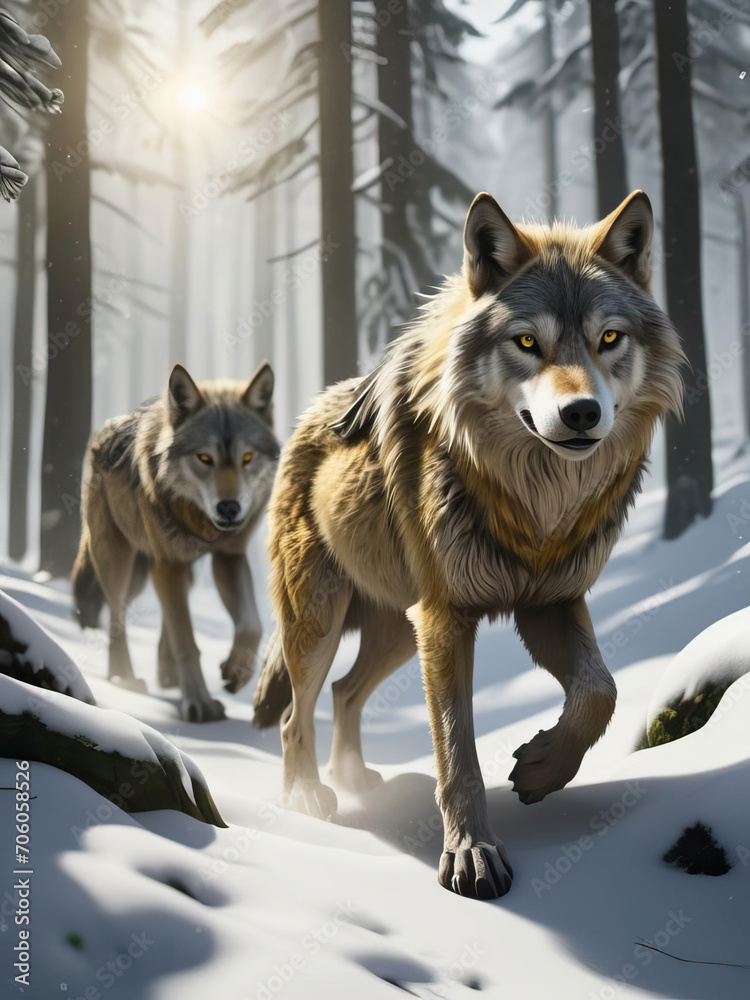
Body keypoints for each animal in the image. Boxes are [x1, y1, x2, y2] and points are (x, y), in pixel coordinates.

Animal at [72, 362, 279, 722]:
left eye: (248, 458)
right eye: (204, 458)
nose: (229, 508)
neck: (202, 524)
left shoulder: (228, 557)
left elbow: (250, 624)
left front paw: (235, 673)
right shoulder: (168, 564)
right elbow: (187, 641)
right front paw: (199, 704)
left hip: (169, 570)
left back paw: (166, 674)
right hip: (120, 563)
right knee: (116, 615)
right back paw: (124, 677)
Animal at [252, 190, 684, 898]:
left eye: (609, 338)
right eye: (528, 341)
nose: (583, 414)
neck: (536, 505)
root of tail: (308, 413)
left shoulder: (549, 604)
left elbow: (601, 693)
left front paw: (540, 768)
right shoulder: (449, 620)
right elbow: (457, 752)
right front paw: (471, 855)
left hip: (401, 630)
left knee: (345, 693)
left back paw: (355, 779)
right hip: (326, 622)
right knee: (295, 714)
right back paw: (308, 797)